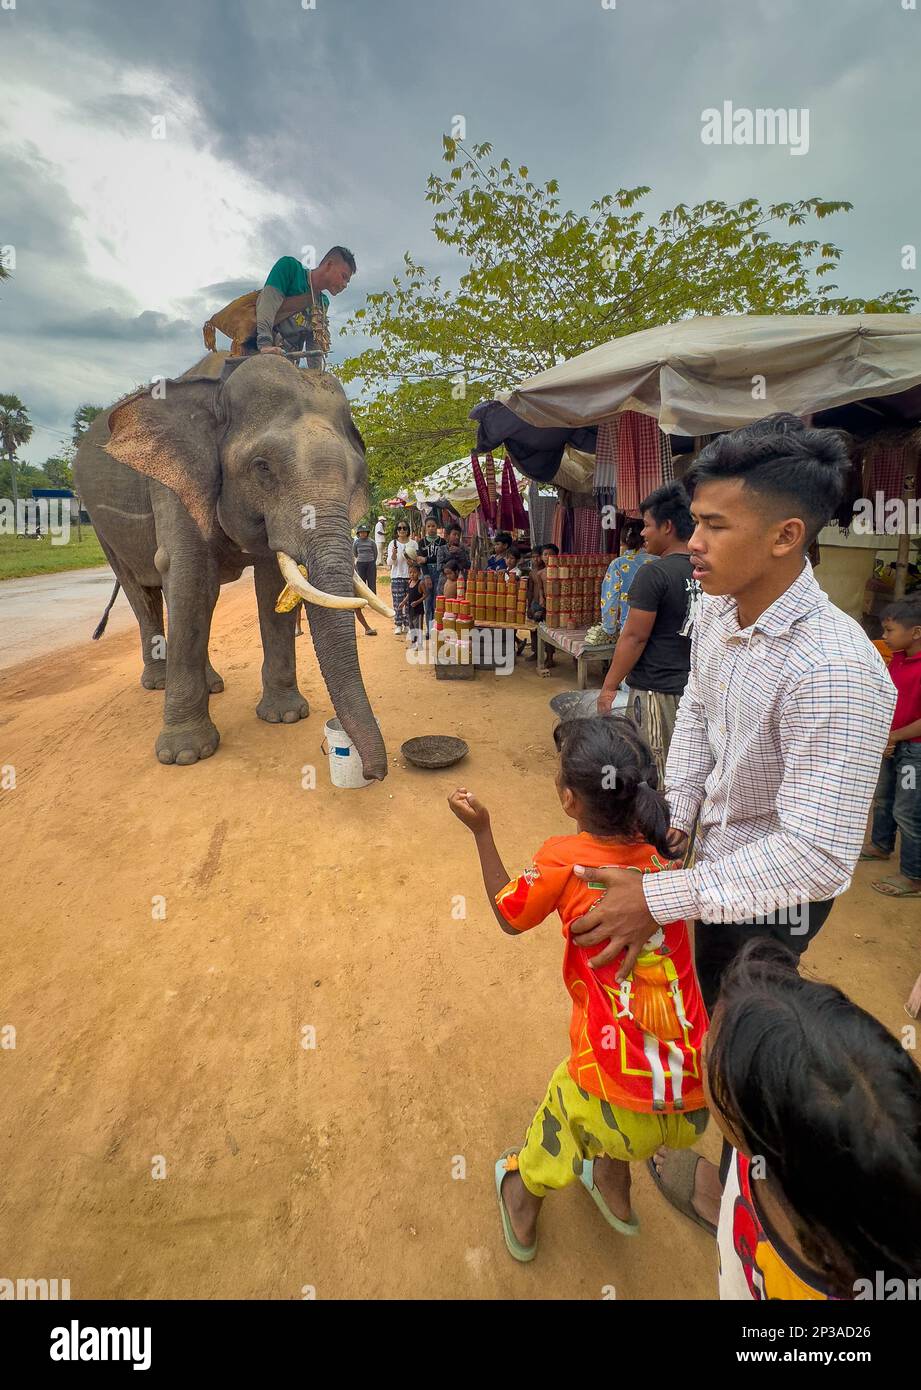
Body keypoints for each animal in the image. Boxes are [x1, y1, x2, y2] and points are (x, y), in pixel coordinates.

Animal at [73, 351, 392, 777]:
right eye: (263, 467)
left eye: (358, 475)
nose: (373, 773)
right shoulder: (174, 482)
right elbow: (189, 575)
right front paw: (184, 755)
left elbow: (270, 584)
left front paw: (285, 717)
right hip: (101, 526)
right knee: (144, 591)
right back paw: (158, 683)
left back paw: (210, 684)